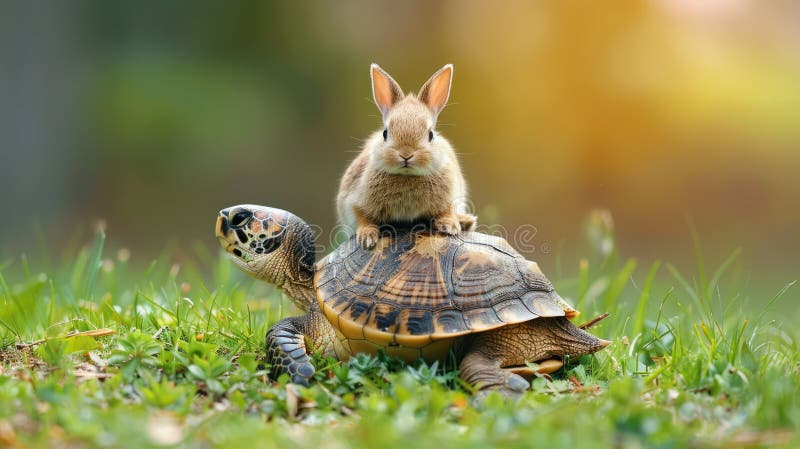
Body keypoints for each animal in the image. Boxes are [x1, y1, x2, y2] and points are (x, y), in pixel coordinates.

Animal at [337, 63, 476, 249]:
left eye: (431, 135)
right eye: (385, 133)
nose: (406, 155)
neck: (407, 176)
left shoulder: (450, 196)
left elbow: (447, 210)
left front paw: (450, 226)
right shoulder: (353, 199)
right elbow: (362, 217)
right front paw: (367, 238)